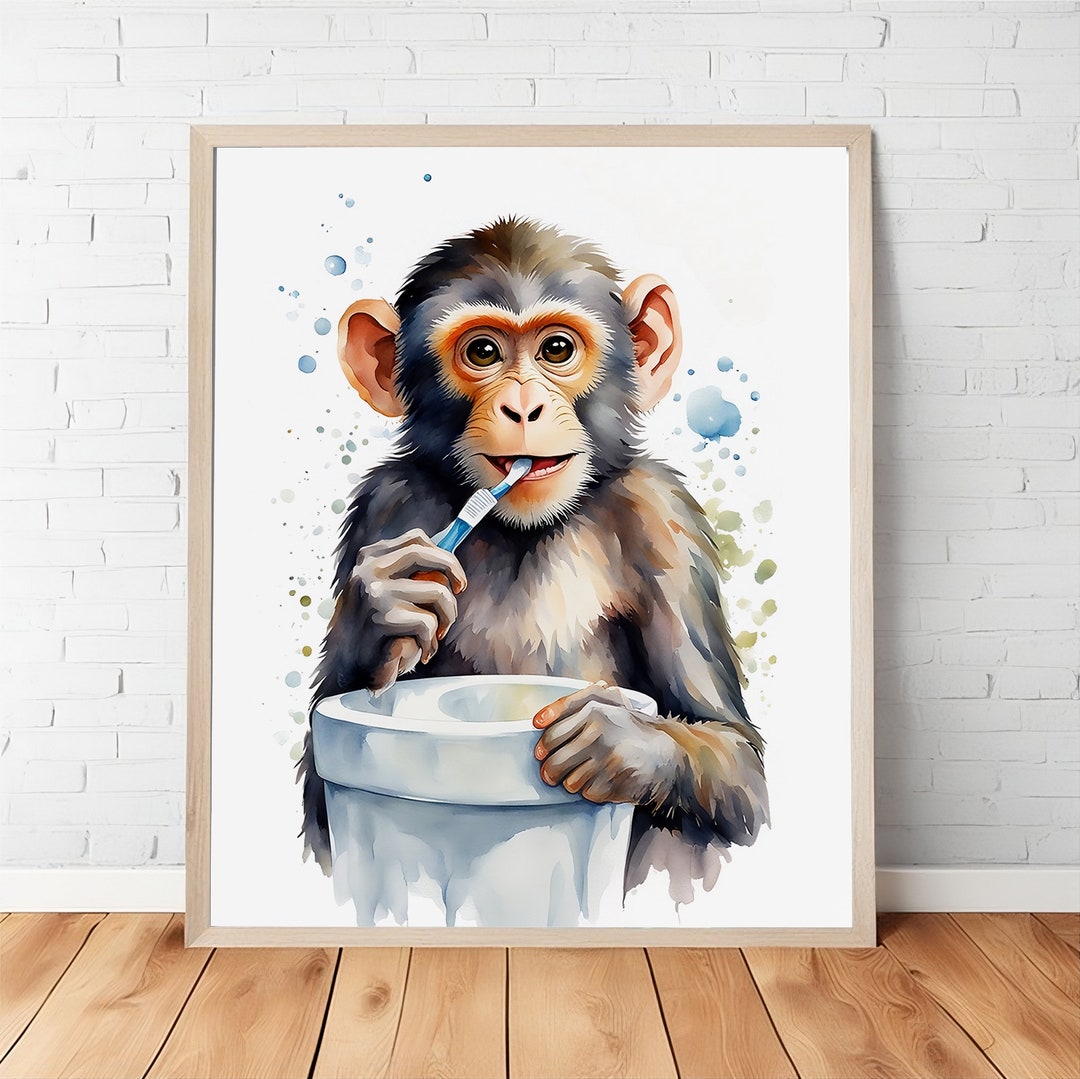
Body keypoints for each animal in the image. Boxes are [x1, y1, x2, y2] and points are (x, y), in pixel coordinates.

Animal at [299, 216, 768, 902]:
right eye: (483, 353)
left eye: (557, 349)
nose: (523, 408)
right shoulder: (385, 507)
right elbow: (323, 790)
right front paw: (387, 605)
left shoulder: (667, 523)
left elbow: (737, 757)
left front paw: (619, 741)